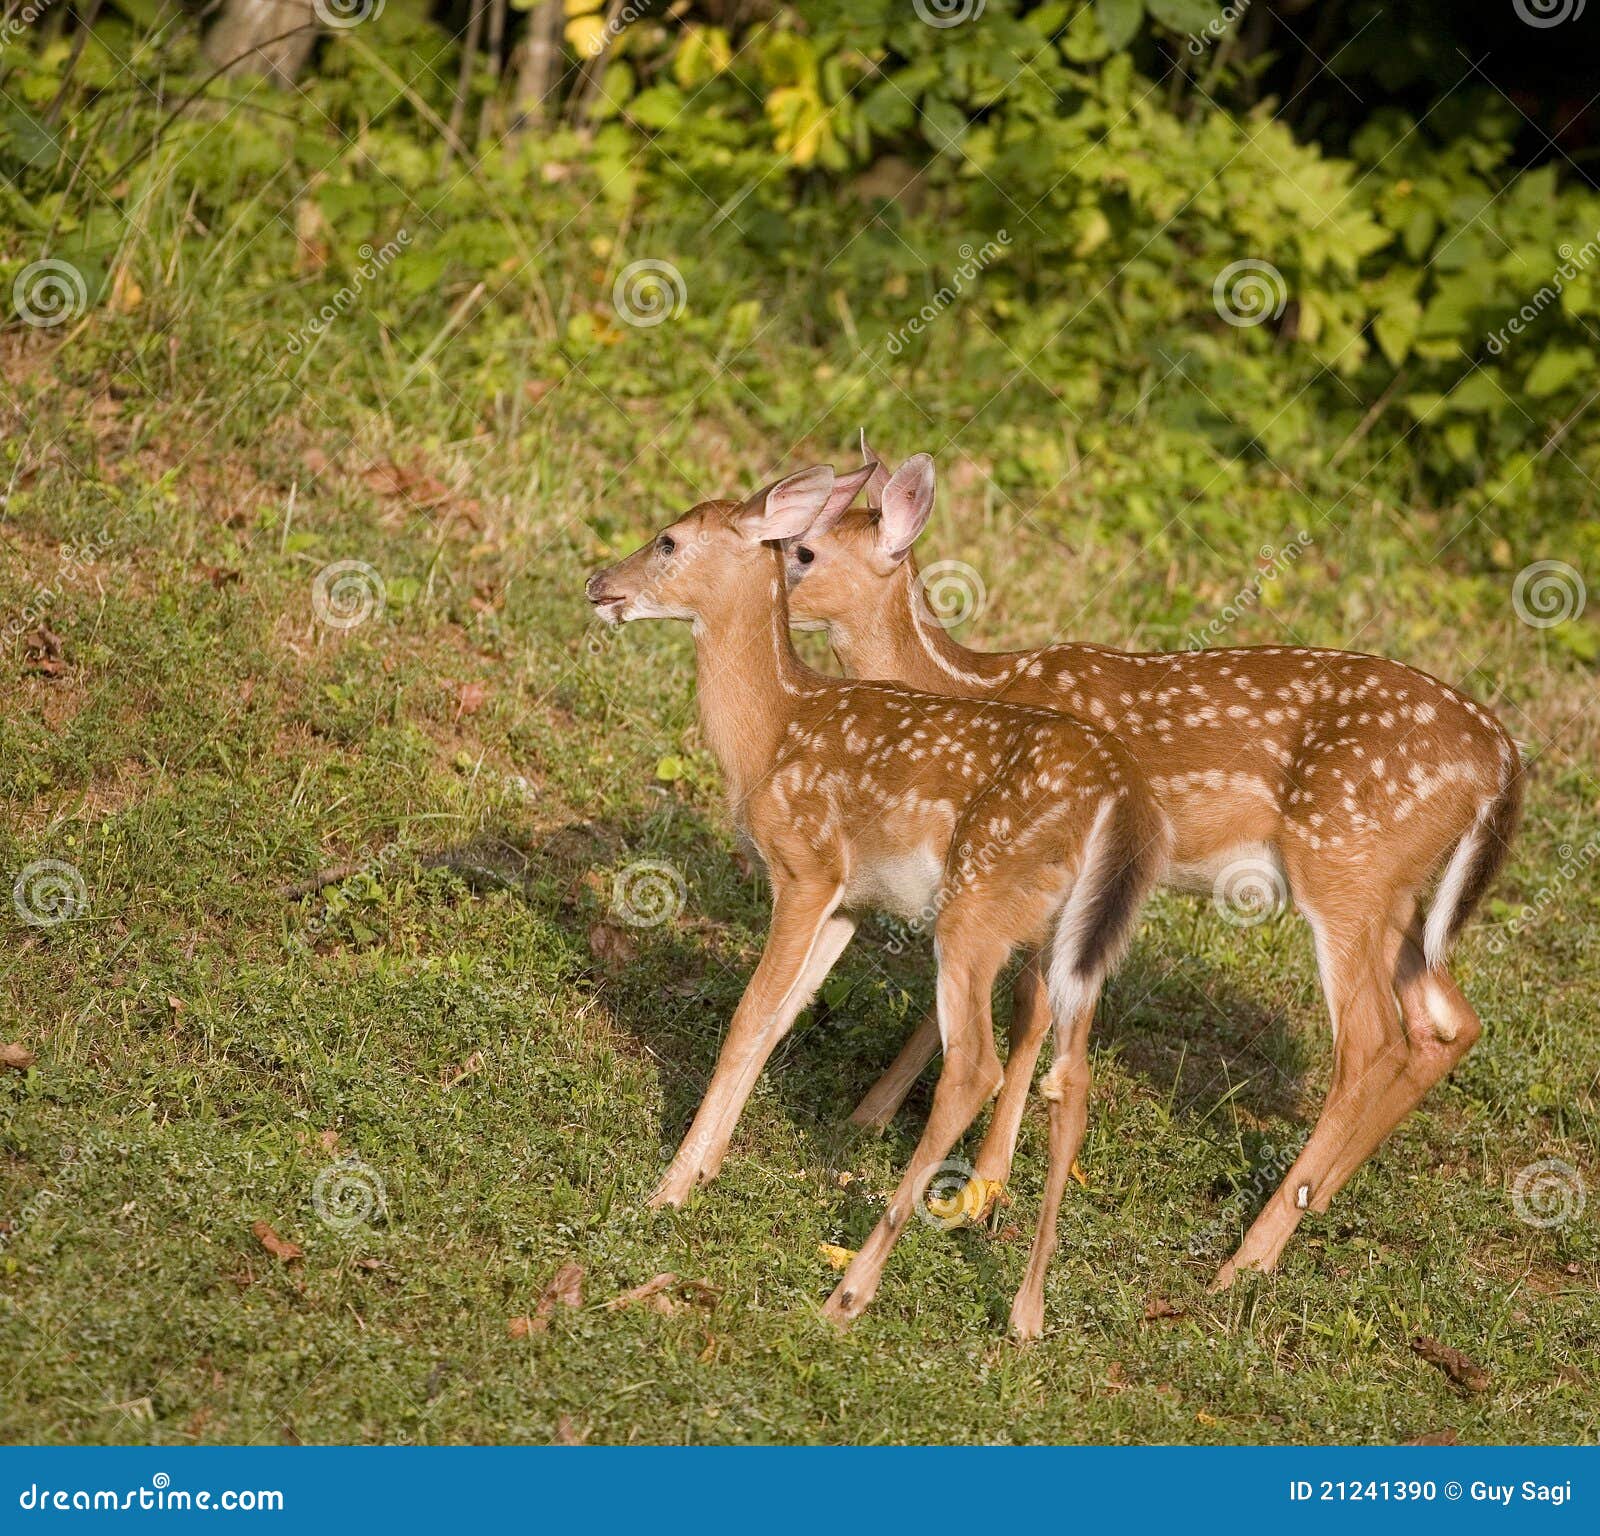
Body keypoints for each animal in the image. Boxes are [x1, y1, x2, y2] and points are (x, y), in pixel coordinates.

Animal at [585, 462, 1169, 1335]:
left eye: (668, 540)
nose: (598, 584)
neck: (769, 734)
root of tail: (1117, 802)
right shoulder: (849, 901)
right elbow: (781, 1017)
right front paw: (708, 1169)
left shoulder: (806, 865)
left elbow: (748, 1017)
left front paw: (669, 1188)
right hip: (1076, 940)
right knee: (1073, 1085)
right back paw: (1026, 1316)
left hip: (979, 906)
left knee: (975, 1067)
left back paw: (850, 1290)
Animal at [783, 436, 1524, 1293]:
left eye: (805, 550)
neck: (974, 685)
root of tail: (1502, 759)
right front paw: (867, 1118)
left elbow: (1030, 1003)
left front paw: (984, 1182)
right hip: (1397, 891)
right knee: (1449, 1021)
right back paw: (1311, 1206)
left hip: (1344, 863)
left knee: (1373, 1042)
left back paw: (1245, 1259)